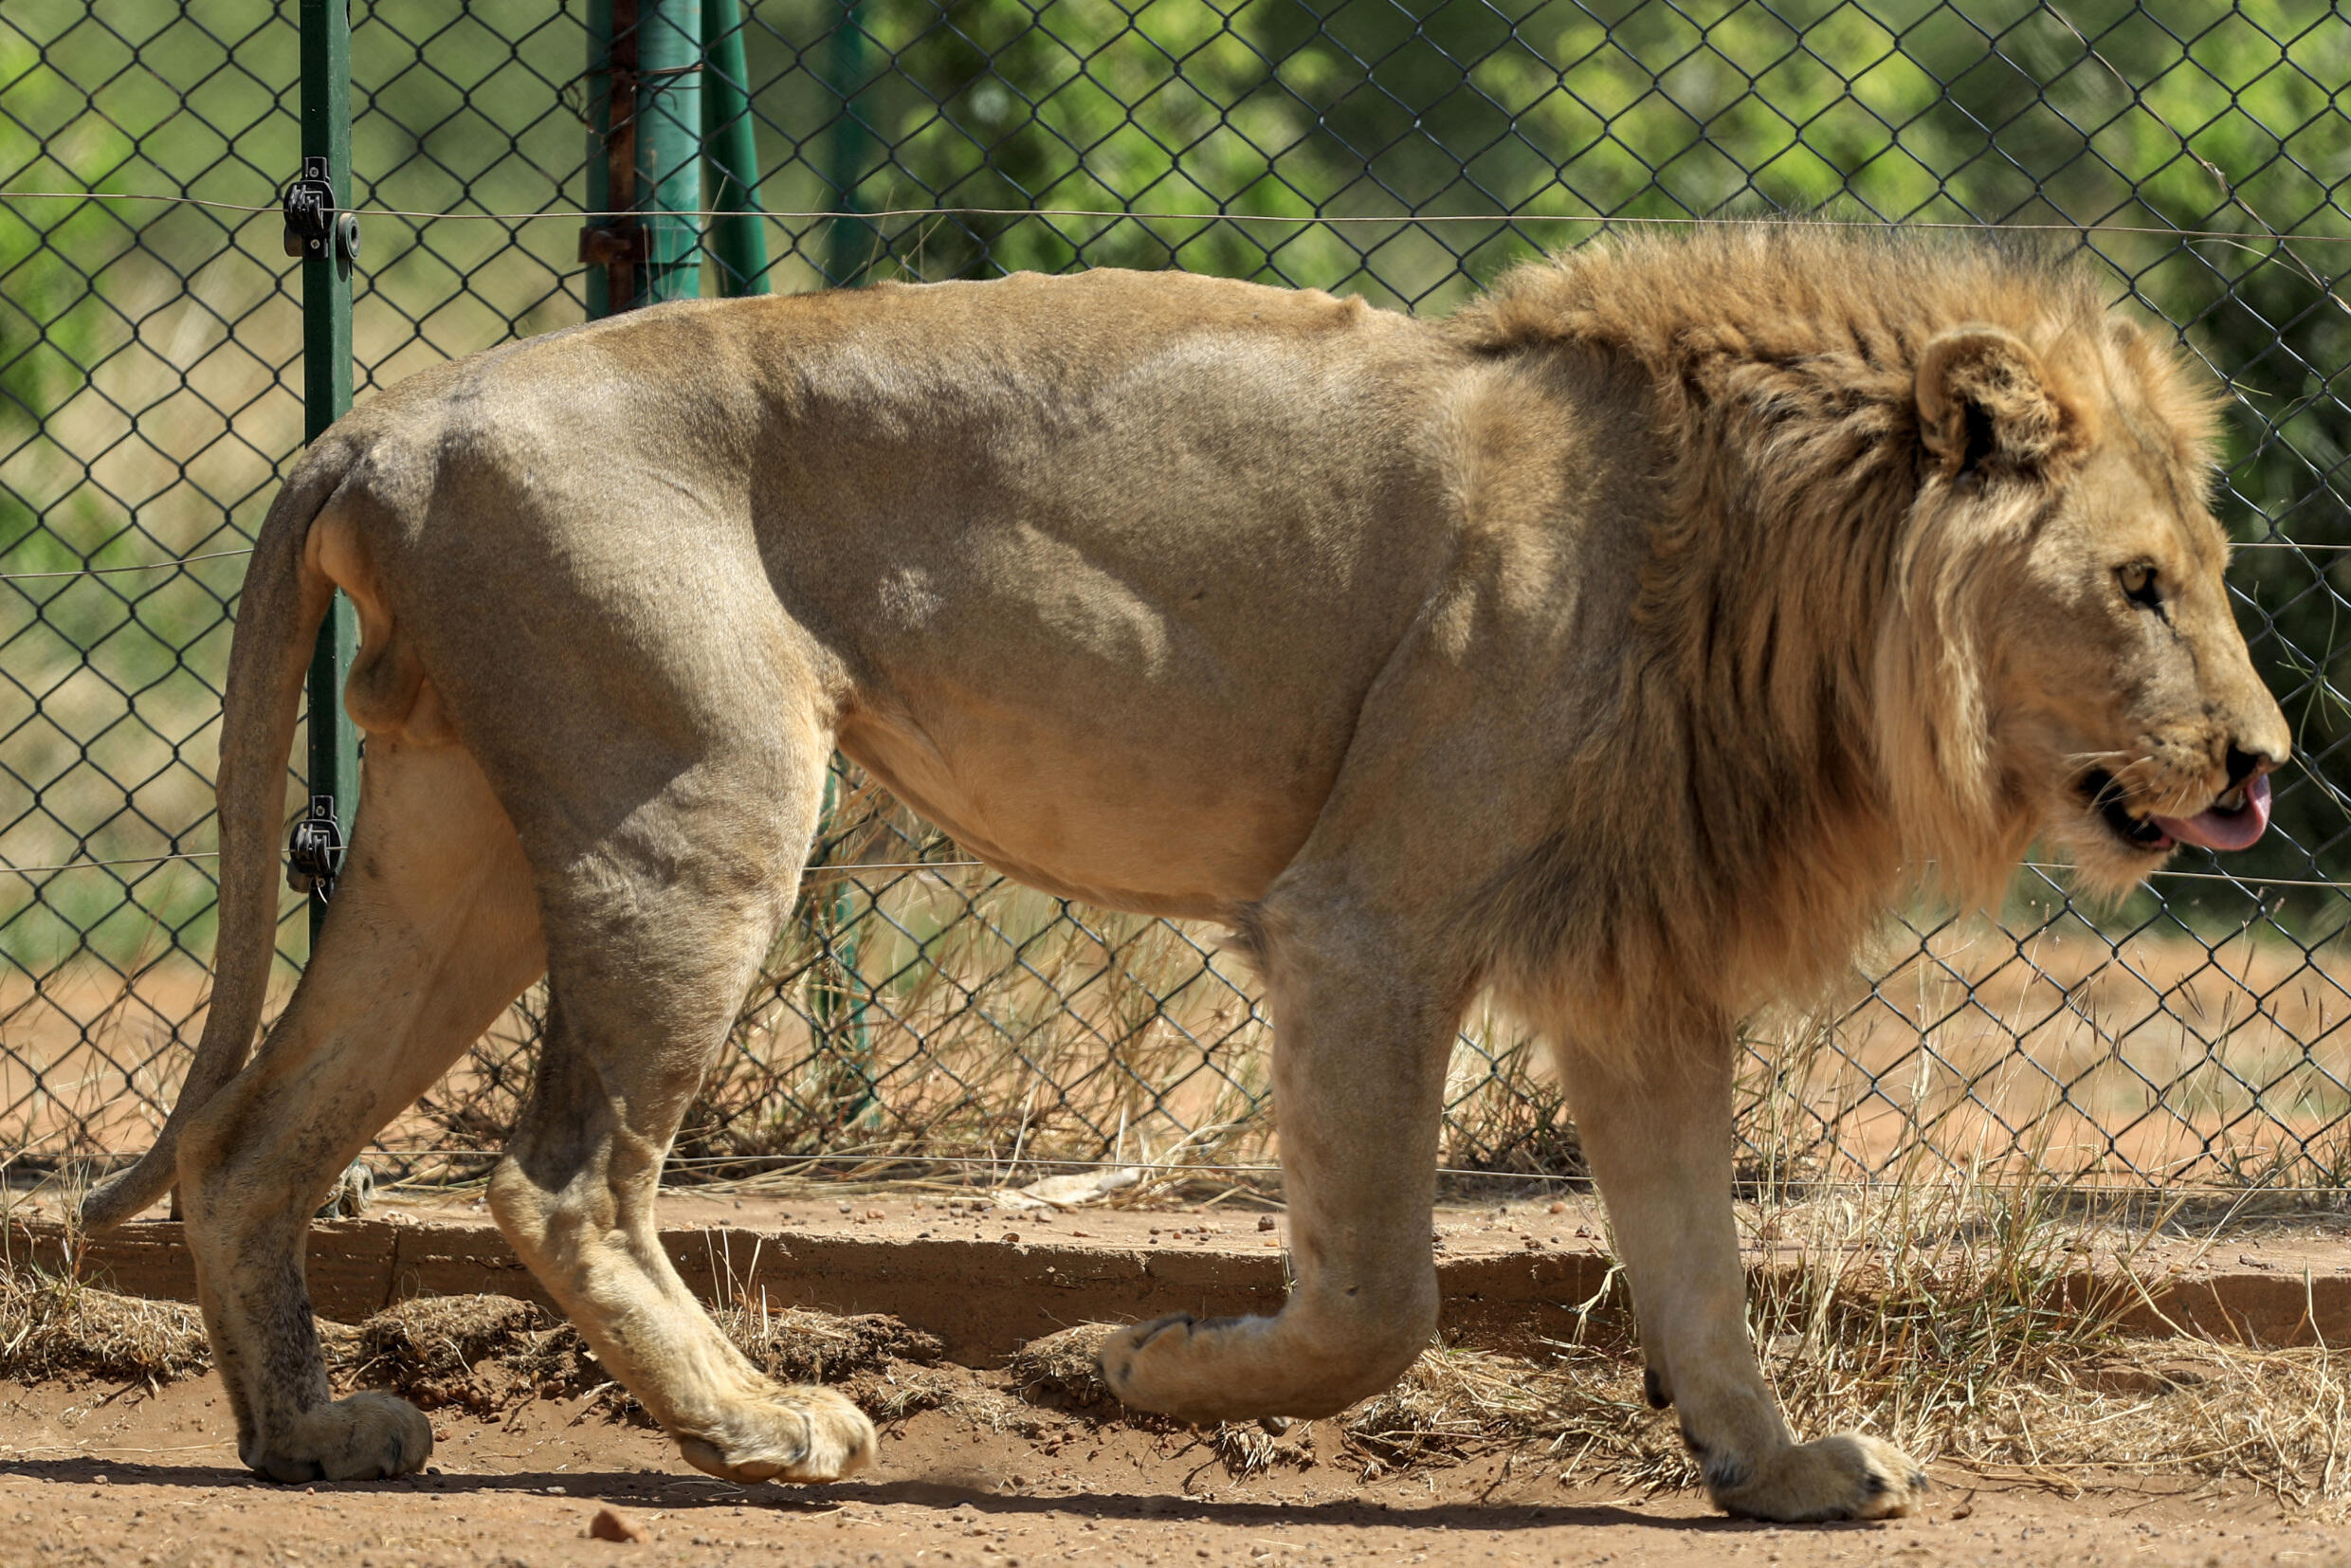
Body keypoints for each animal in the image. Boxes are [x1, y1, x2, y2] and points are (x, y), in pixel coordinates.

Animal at [78, 224, 2286, 1521]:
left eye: (2210, 574)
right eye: (2137, 586)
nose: (2264, 768)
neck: (1763, 560)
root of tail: (379, 415)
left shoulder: (1634, 968)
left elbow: (1697, 1258)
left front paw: (1779, 1463)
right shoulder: (1364, 920)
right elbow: (1383, 1294)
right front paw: (1134, 1367)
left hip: (458, 841)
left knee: (255, 1138)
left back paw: (310, 1433)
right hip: (692, 790)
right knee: (558, 1175)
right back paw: (765, 1427)